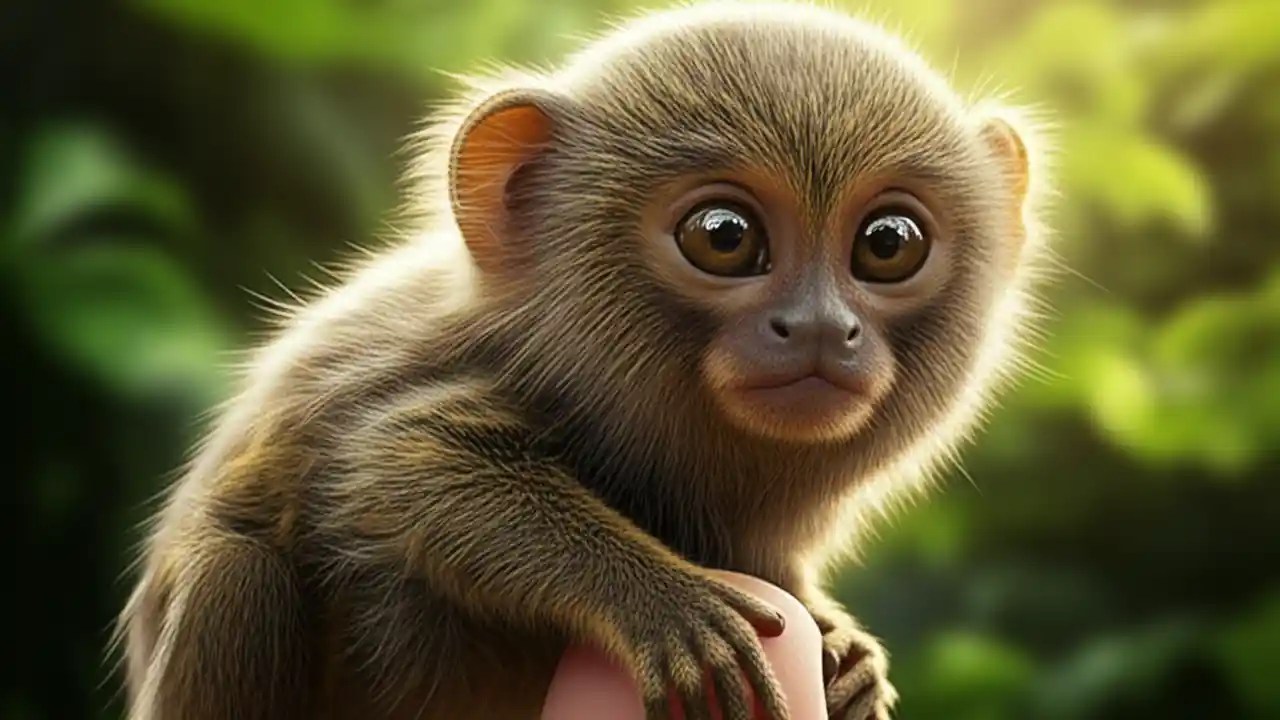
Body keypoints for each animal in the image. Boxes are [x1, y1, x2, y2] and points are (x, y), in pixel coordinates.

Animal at [117, 2, 1048, 719]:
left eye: (889, 244)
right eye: (724, 236)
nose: (819, 326)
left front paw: (848, 652)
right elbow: (403, 459)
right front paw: (658, 598)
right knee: (236, 574)